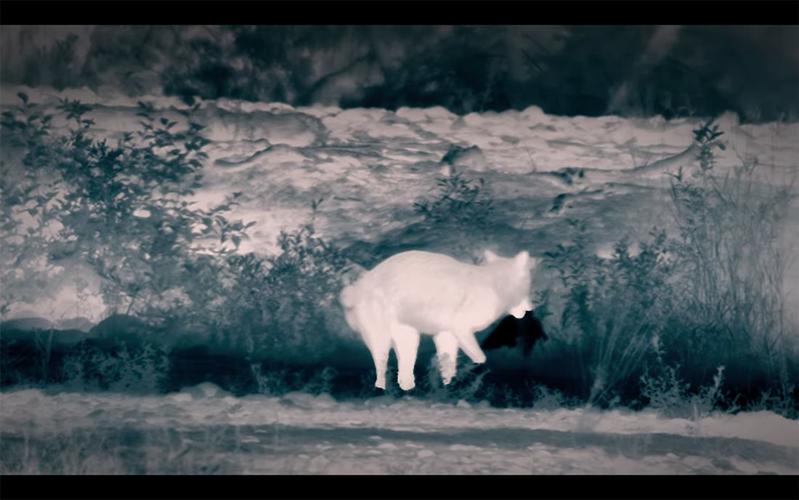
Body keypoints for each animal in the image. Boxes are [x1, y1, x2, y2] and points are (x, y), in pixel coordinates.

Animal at [340, 249, 536, 391]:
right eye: (526, 287)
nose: (530, 309)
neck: (496, 284)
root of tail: (357, 289)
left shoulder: (446, 333)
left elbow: (448, 360)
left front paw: (448, 384)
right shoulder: (460, 328)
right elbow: (479, 357)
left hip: (408, 338)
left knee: (404, 369)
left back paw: (409, 388)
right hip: (381, 337)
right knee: (380, 366)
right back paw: (382, 389)